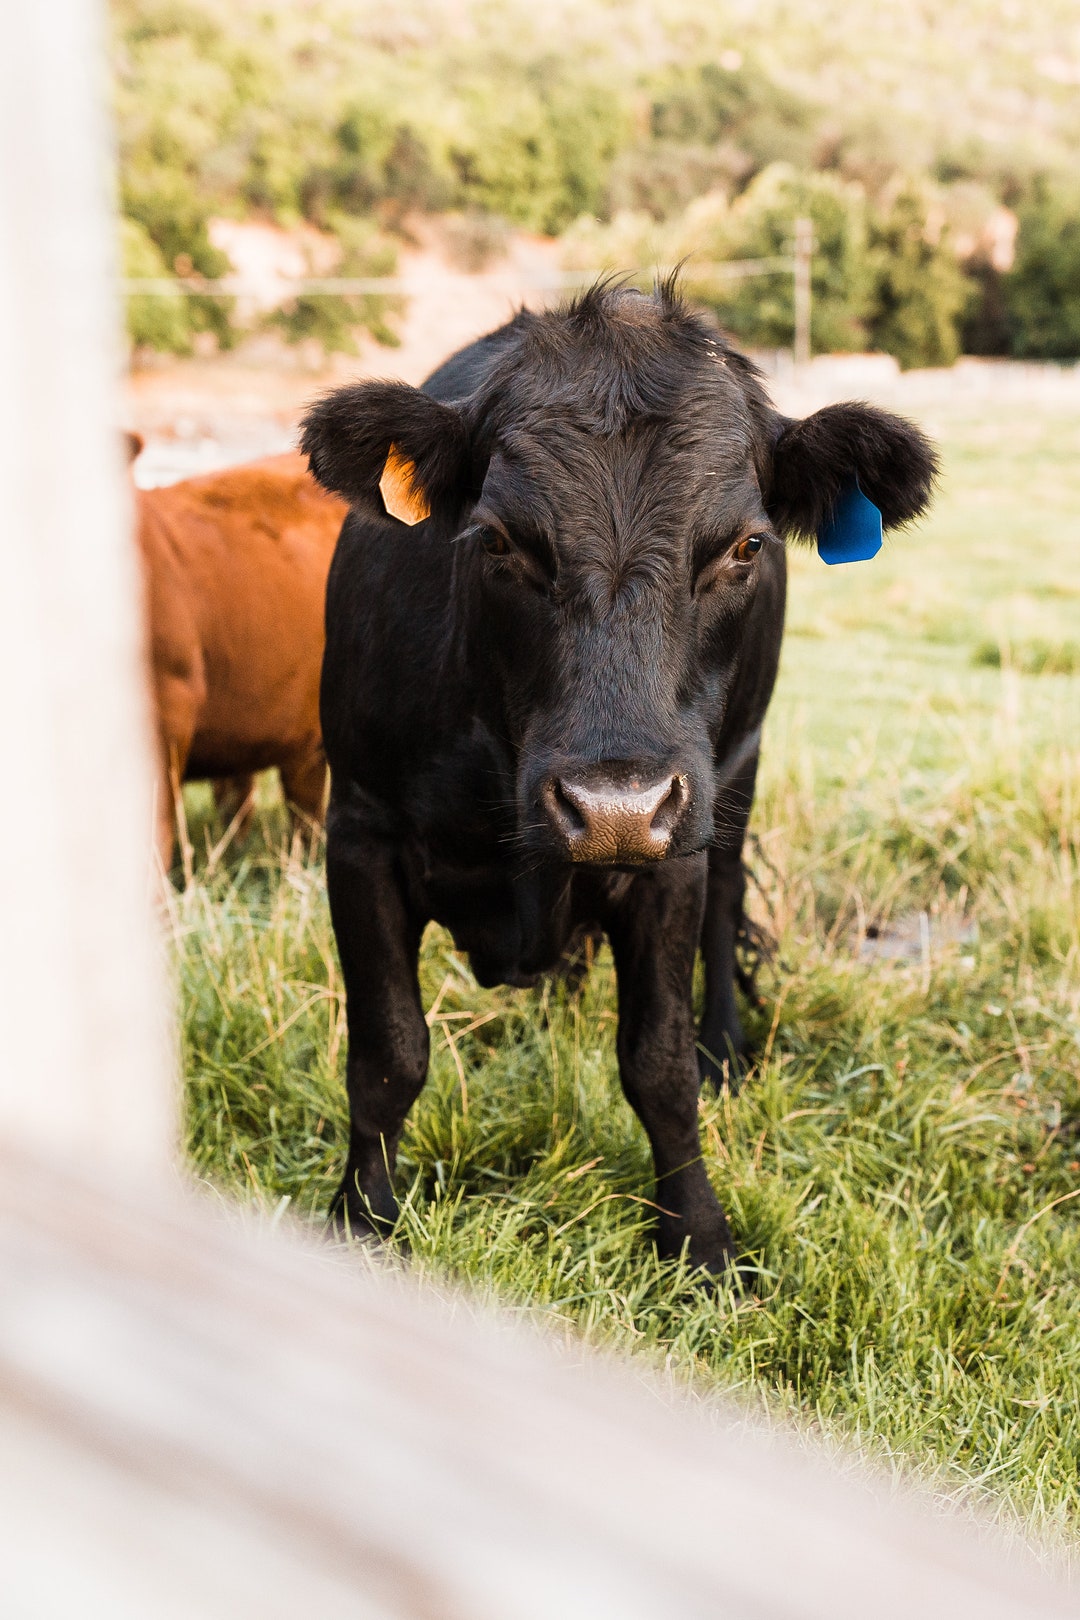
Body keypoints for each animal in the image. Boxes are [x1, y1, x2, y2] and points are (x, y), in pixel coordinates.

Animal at [301, 282, 936, 1277]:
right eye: (499, 541)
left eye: (744, 547)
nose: (613, 810)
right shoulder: (361, 828)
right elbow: (388, 1052)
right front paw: (360, 1218)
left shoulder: (676, 849)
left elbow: (658, 1064)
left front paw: (701, 1243)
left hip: (734, 778)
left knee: (723, 910)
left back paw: (726, 1053)